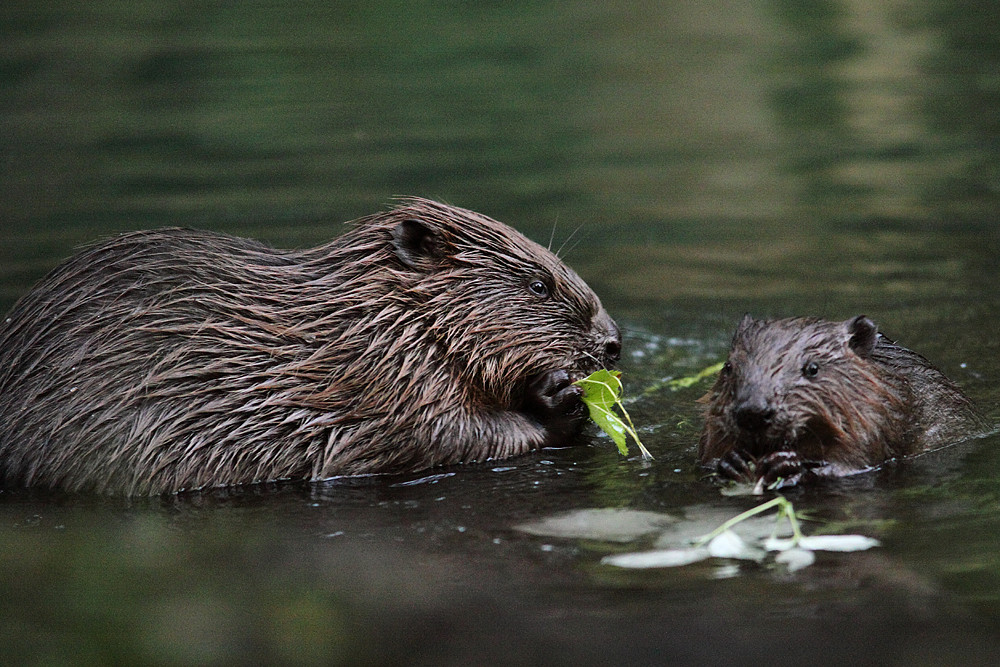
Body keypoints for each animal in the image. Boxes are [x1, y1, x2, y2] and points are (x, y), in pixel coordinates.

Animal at [0, 198, 620, 496]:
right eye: (539, 285)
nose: (614, 343)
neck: (373, 318)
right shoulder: (384, 382)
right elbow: (444, 435)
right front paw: (562, 396)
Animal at [696, 314, 984, 490]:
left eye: (812, 368)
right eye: (728, 367)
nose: (753, 412)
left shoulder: (879, 415)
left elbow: (852, 461)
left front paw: (786, 465)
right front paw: (731, 461)